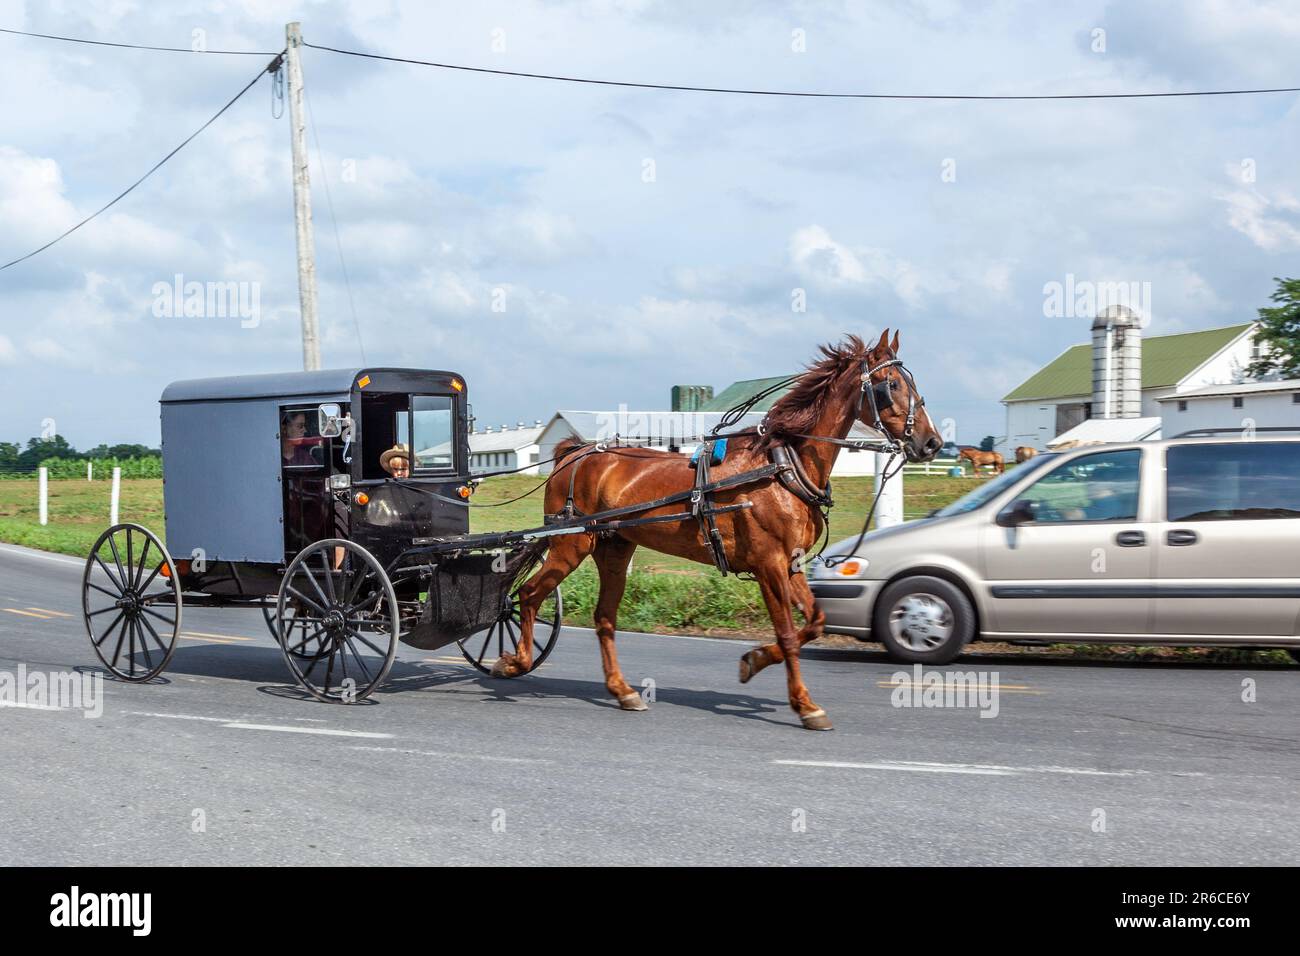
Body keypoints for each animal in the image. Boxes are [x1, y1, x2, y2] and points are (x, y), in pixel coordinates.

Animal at [489, 329, 943, 731]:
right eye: (891, 384)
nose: (932, 443)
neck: (782, 466)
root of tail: (575, 453)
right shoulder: (769, 565)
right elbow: (789, 634)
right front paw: (805, 705)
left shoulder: (791, 565)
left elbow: (814, 622)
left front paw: (755, 660)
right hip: (571, 543)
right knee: (528, 595)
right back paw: (514, 662)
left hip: (614, 548)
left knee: (604, 618)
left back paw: (622, 690)